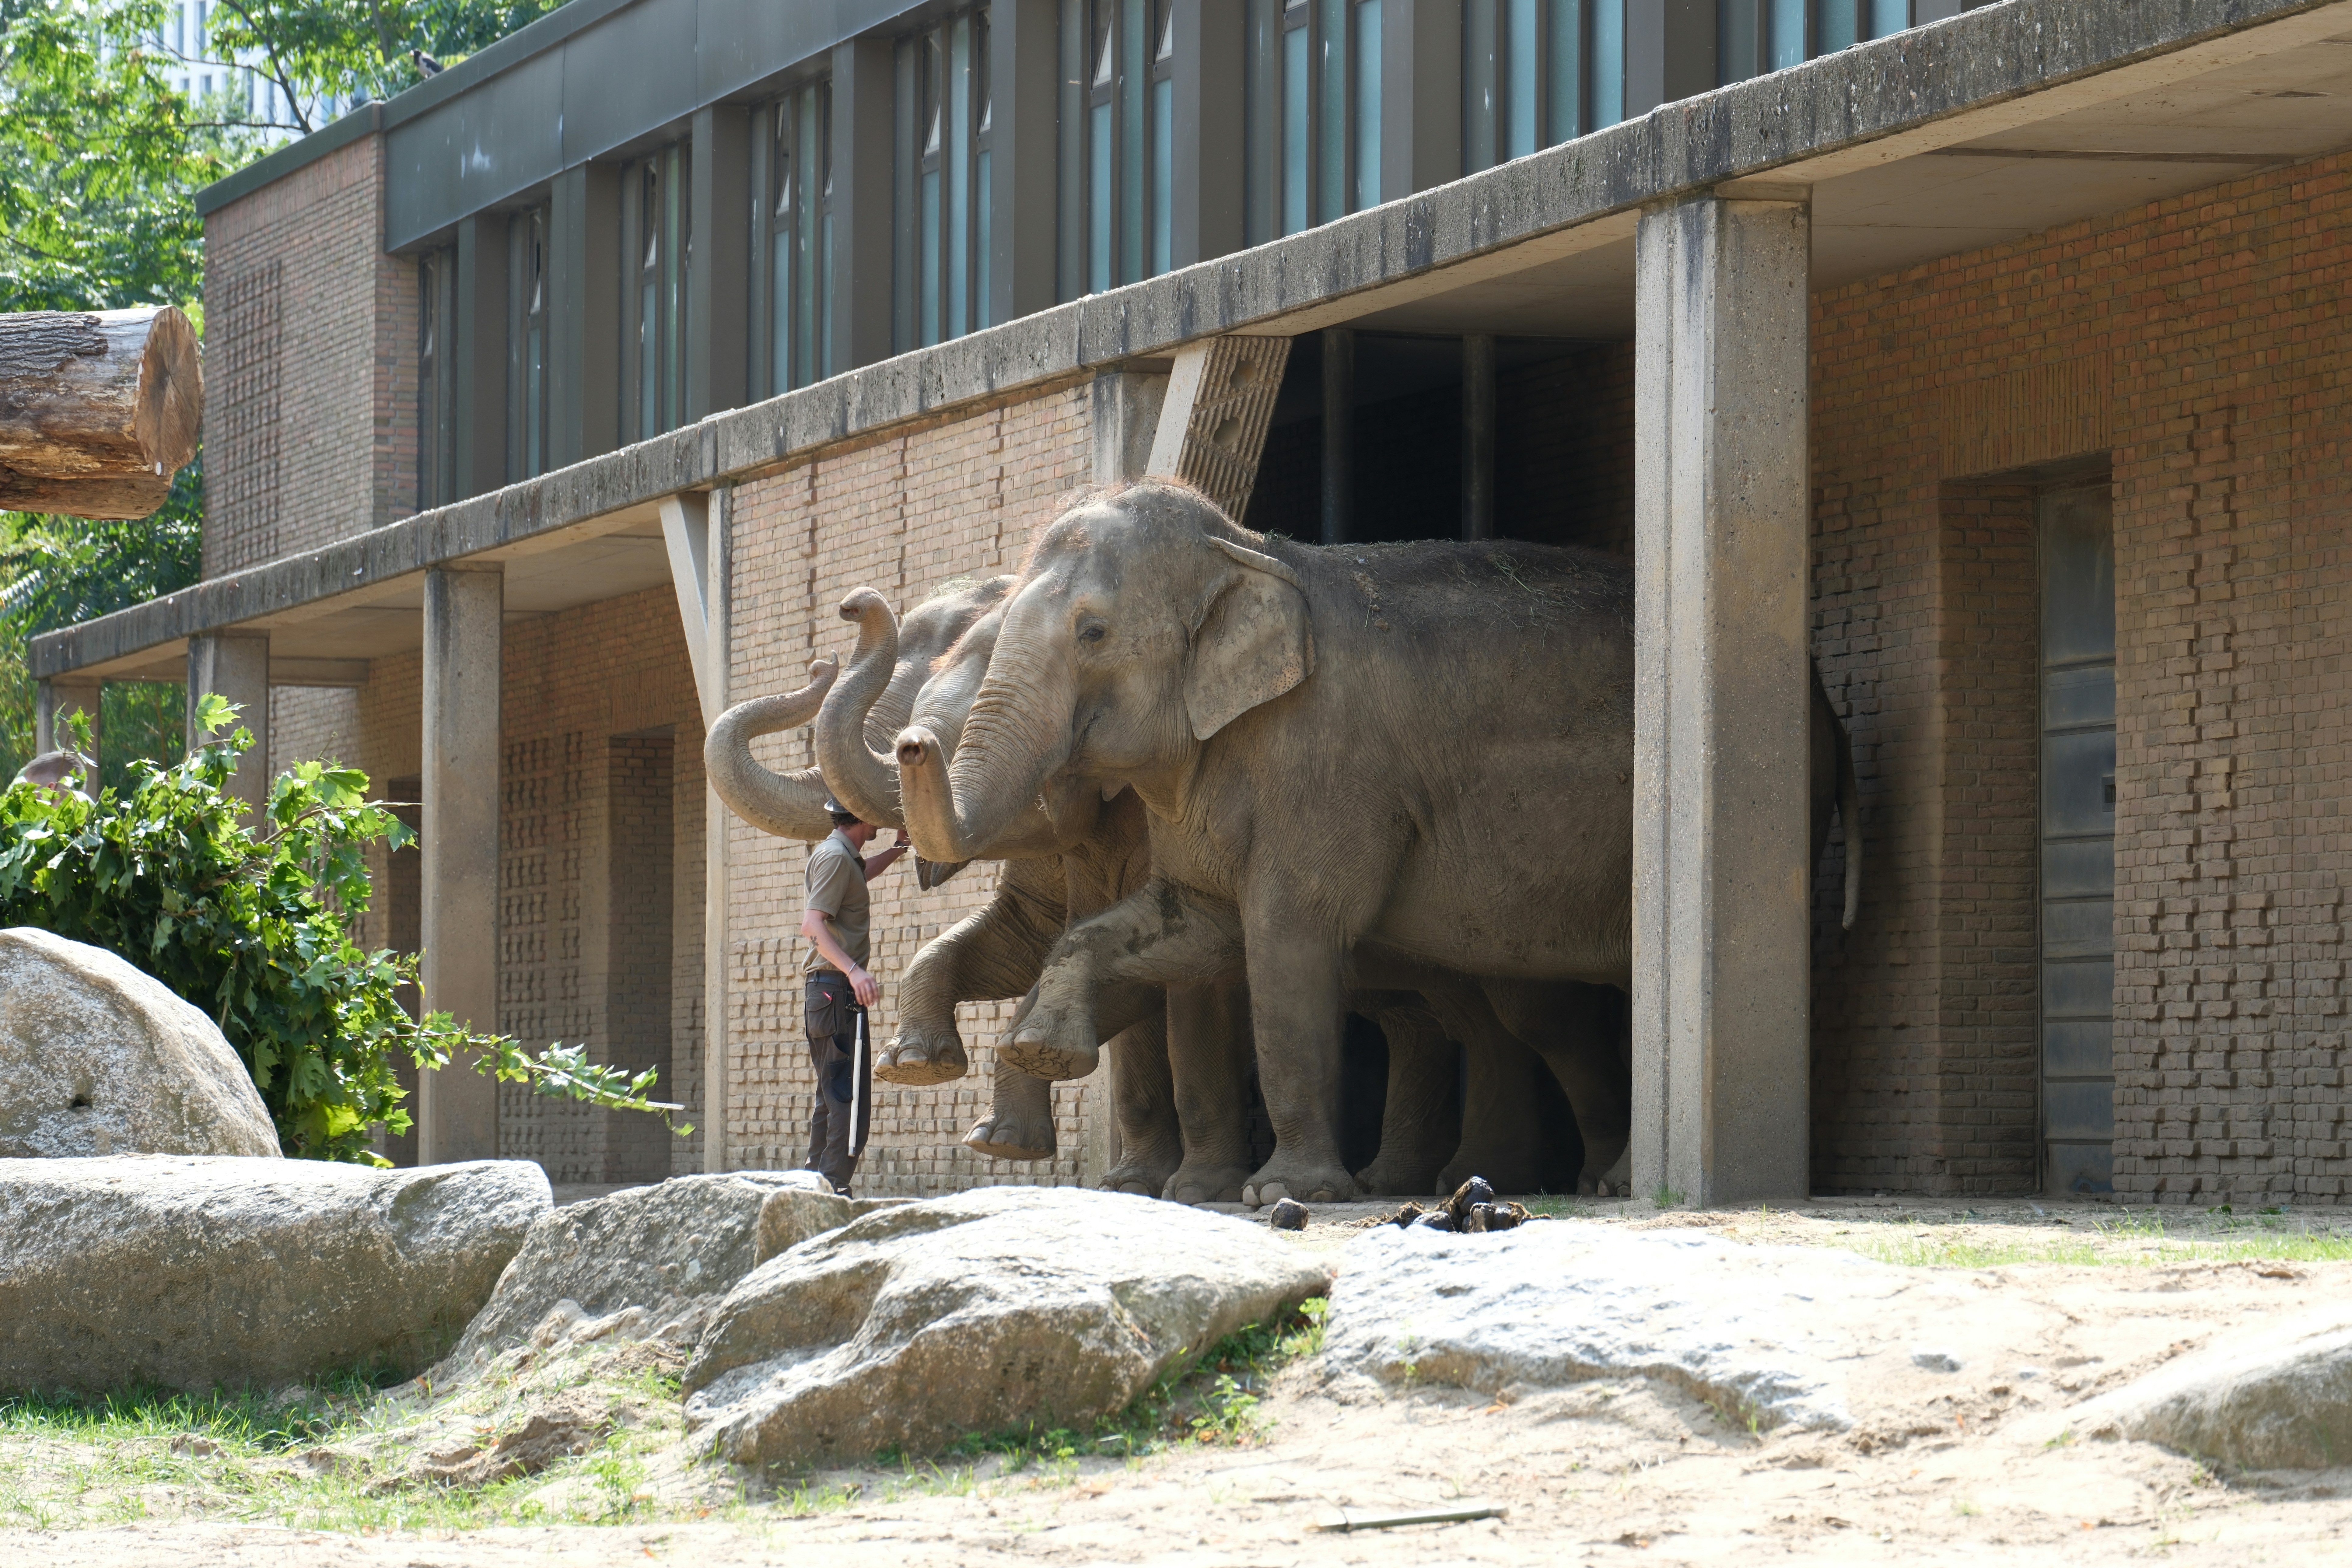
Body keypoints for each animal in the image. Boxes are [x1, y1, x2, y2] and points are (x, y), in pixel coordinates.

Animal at [896, 480, 1858, 1208]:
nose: (908, 744)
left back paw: (1604, 1184)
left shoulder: (1325, 768)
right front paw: (1035, 1063)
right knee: (1531, 1014)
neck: (1249, 552)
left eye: (1093, 633)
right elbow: (1191, 932)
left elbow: (1286, 944)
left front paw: (1287, 1193)